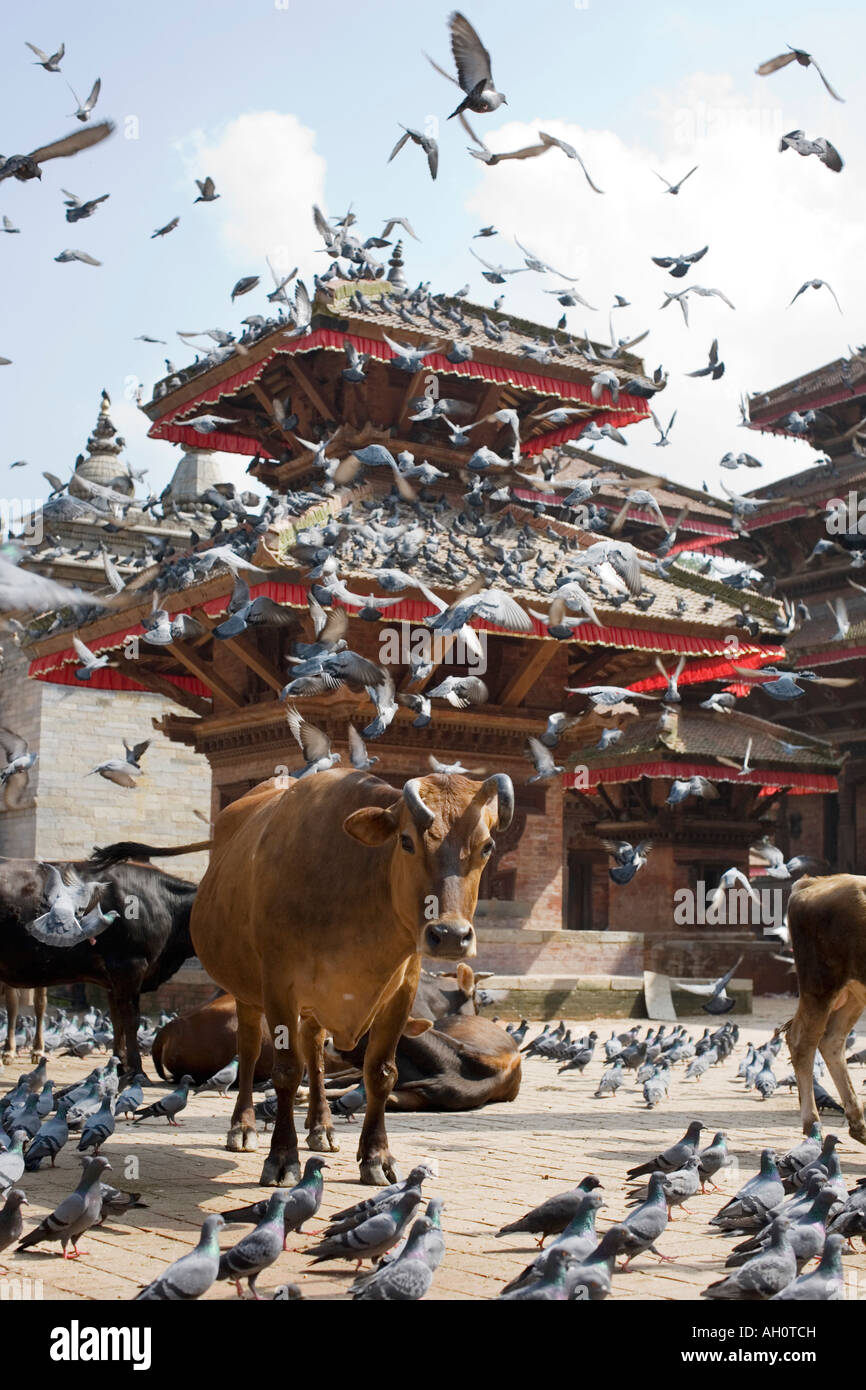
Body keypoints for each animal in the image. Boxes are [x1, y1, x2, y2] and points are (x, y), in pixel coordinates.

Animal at [0, 856, 199, 1076]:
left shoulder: (114, 978)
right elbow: (131, 1019)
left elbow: (117, 1019)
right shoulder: (129, 966)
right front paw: (136, 1069)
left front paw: (120, 1064)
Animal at [188, 766, 514, 1186]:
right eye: (406, 841)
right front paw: (283, 1157)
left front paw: (377, 1156)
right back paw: (242, 1126)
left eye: (486, 846)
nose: (450, 935)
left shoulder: (401, 992)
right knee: (248, 1049)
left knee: (314, 1049)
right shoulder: (278, 985)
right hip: (244, 989)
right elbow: (287, 1070)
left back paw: (321, 1126)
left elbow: (380, 1072)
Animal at [786, 873, 866, 1145]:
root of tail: (813, 883)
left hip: (853, 993)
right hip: (820, 985)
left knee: (831, 1040)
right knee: (802, 1041)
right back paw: (812, 1124)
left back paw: (859, 1125)